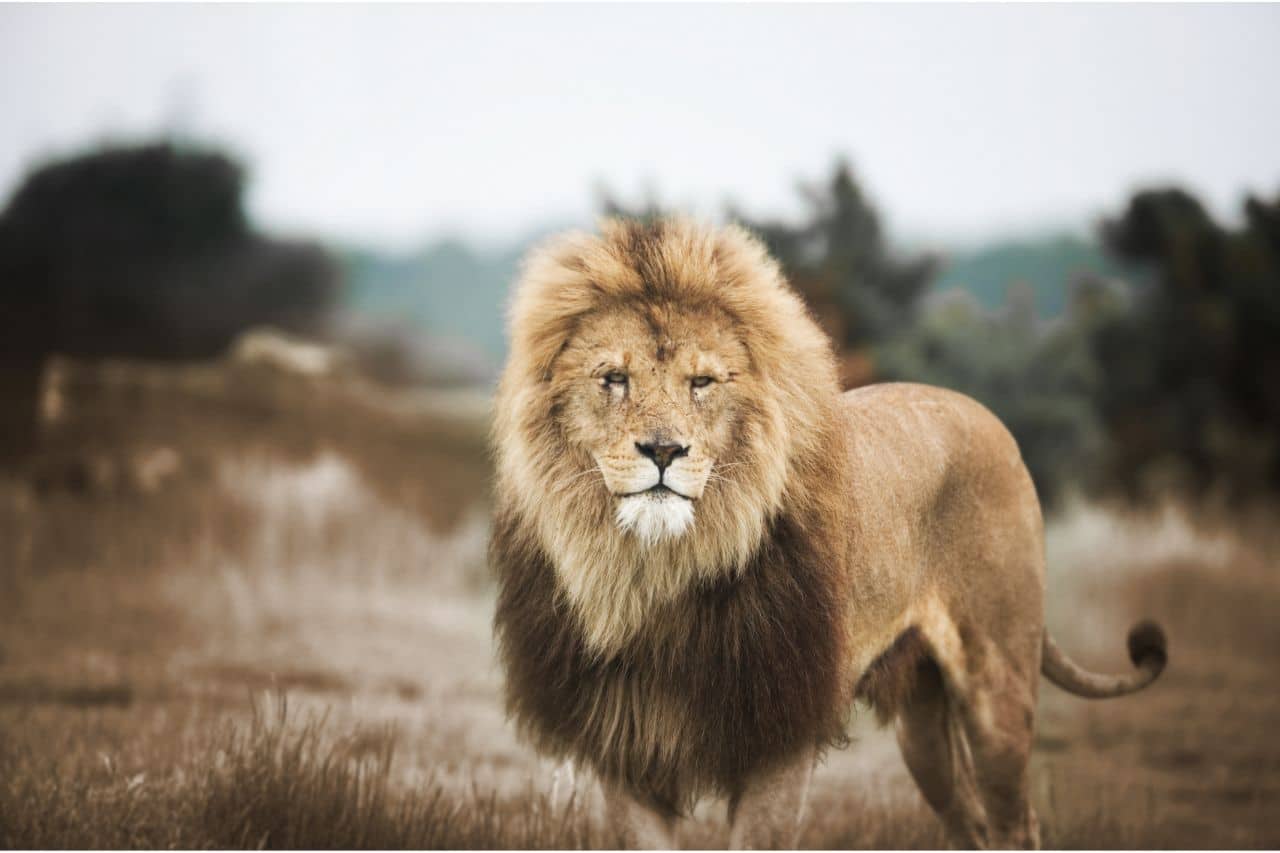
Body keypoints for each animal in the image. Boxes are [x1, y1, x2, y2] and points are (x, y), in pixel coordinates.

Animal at [489, 218, 1167, 849]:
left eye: (701, 383)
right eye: (614, 379)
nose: (663, 451)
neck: (660, 571)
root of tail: (988, 419)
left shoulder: (779, 735)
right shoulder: (624, 746)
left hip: (998, 682)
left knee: (1014, 825)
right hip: (922, 726)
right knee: (968, 825)